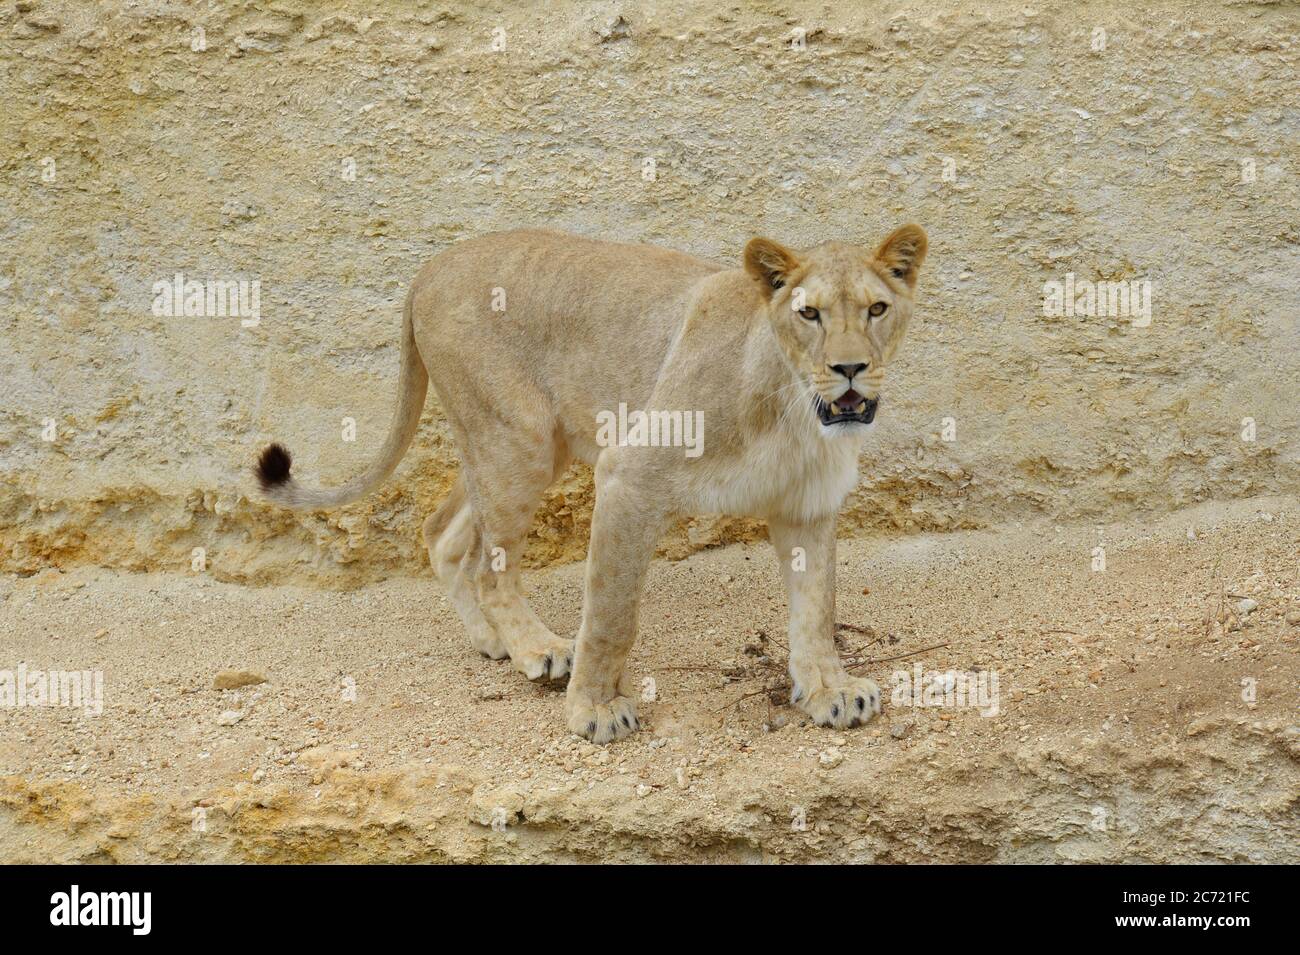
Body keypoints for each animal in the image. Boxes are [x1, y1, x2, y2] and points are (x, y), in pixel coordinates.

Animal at [255, 225, 928, 743]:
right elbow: (612, 611)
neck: (794, 408)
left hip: (522, 447)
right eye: (808, 313)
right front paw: (595, 710)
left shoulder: (807, 504)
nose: (849, 369)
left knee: (443, 533)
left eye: (876, 309)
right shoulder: (631, 476)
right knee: (490, 566)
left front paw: (830, 691)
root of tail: (428, 269)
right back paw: (539, 650)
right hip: (517, 442)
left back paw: (493, 641)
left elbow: (818, 609)